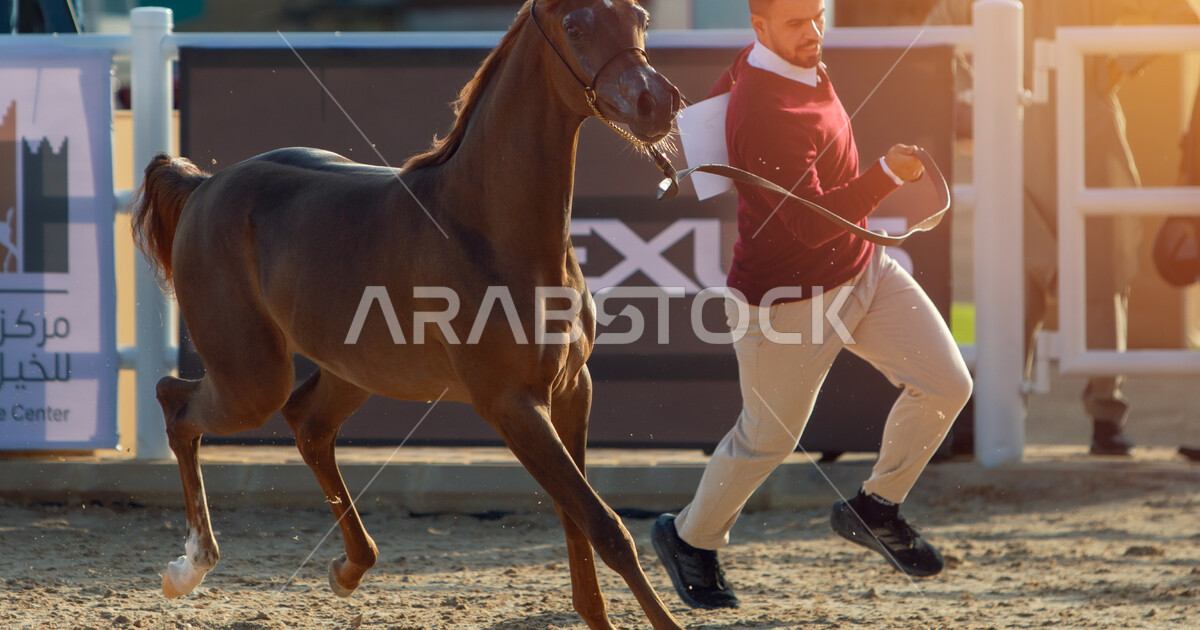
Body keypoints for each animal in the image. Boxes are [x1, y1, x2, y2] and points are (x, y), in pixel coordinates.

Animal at [131, 1, 685, 628]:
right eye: (575, 26)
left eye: (640, 16)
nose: (656, 101)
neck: (489, 228)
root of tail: (204, 187)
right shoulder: (511, 404)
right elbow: (605, 526)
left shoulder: (572, 389)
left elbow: (579, 519)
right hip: (251, 378)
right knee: (178, 404)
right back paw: (189, 567)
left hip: (353, 369)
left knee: (307, 423)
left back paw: (348, 568)